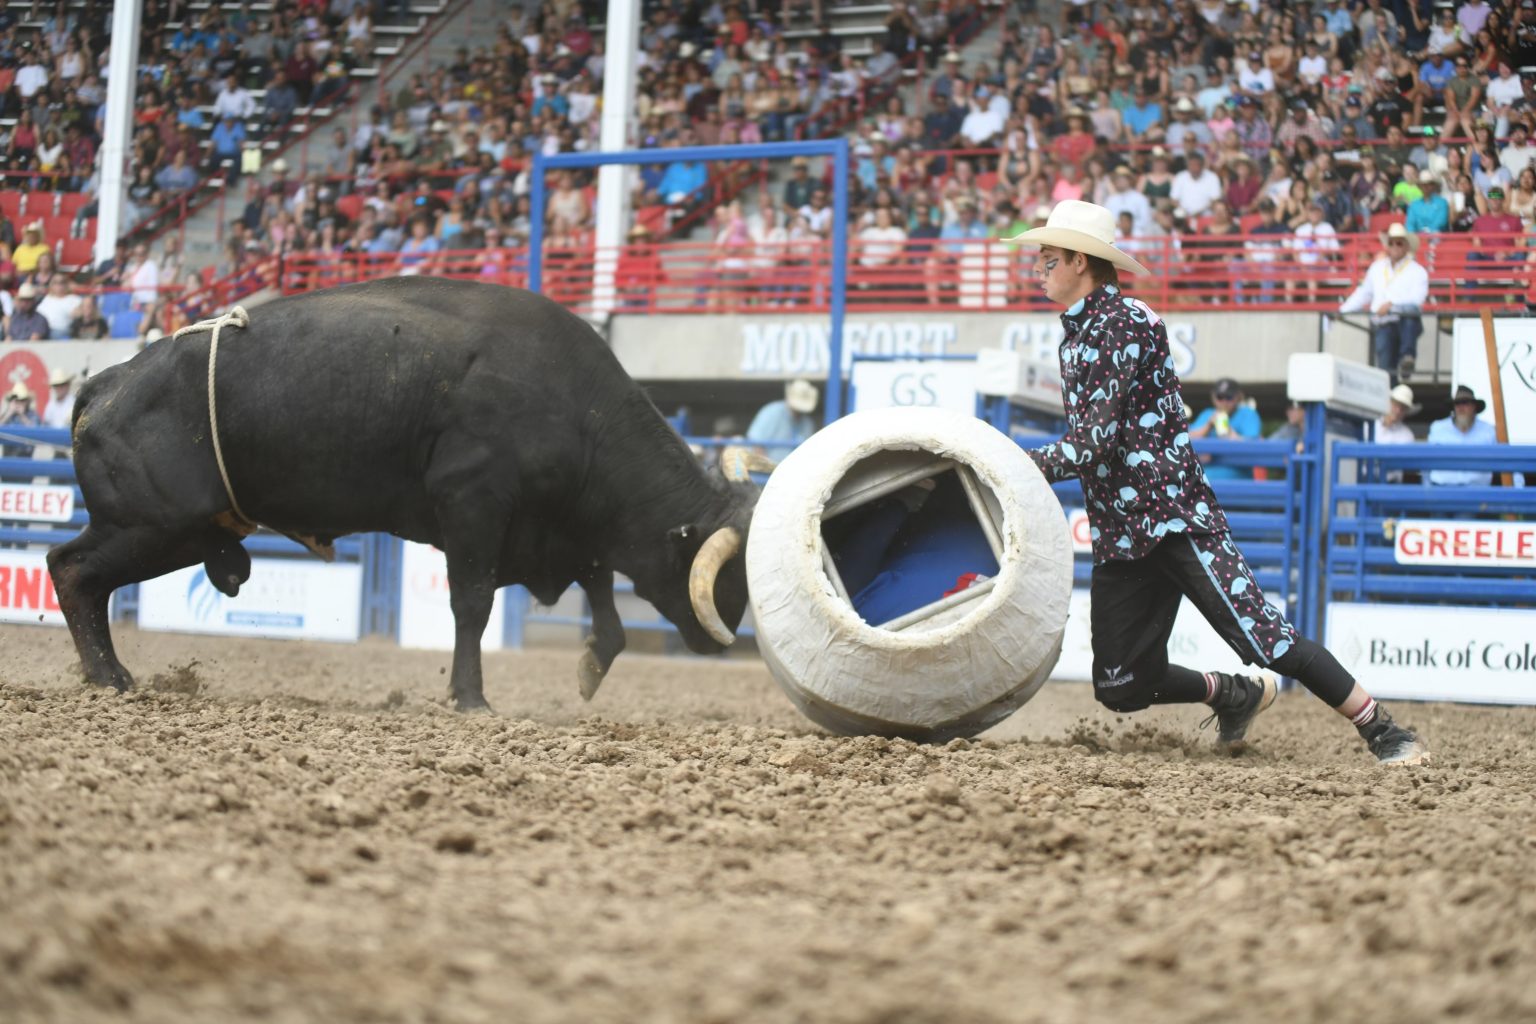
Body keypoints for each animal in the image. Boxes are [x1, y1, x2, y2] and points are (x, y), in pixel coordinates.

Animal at [48, 277, 758, 711]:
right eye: (729, 577)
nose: (724, 642)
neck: (577, 408)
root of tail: (107, 382)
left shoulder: (565, 530)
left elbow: (605, 608)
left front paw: (588, 669)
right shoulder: (473, 505)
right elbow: (472, 605)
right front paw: (470, 697)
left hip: (178, 531)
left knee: (81, 575)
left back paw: (109, 674)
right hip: (154, 524)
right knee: (71, 568)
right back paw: (107, 676)